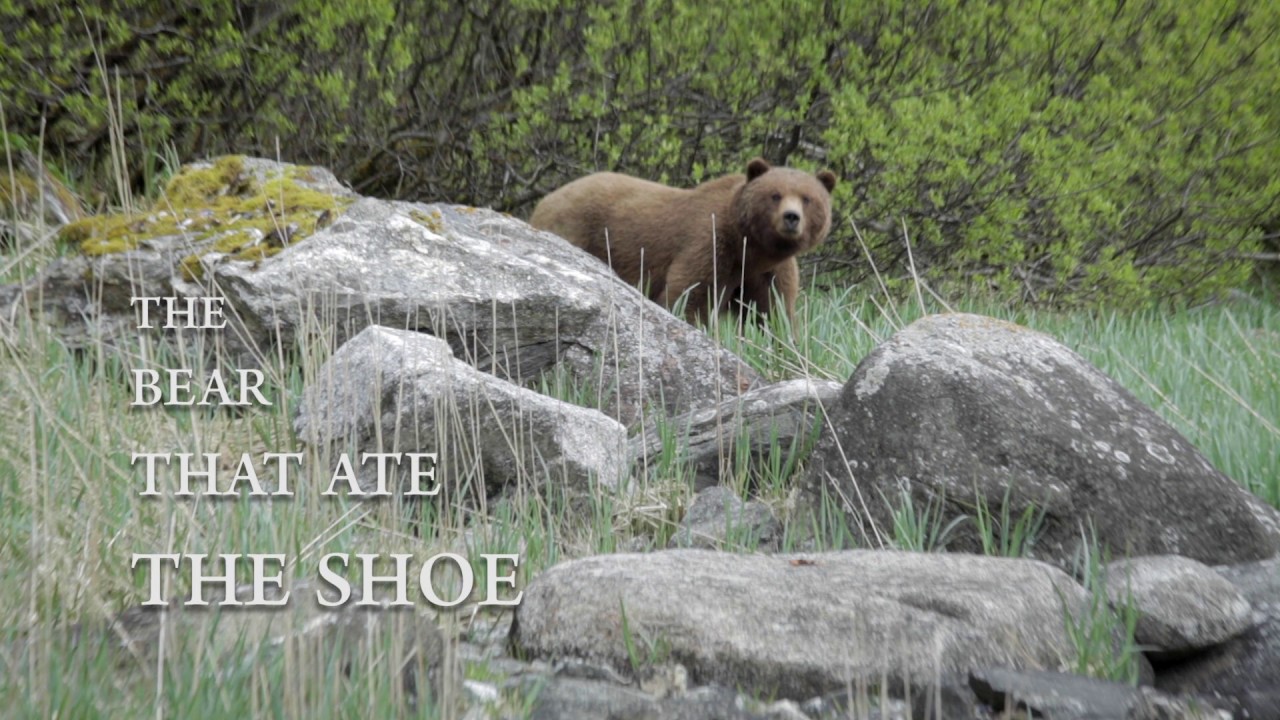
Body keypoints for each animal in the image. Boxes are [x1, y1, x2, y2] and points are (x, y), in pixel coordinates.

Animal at [529, 157, 837, 327]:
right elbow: (688, 296)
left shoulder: (766, 272)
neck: (751, 248)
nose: (791, 217)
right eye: (775, 195)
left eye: (807, 198)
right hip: (574, 230)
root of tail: (545, 200)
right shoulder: (710, 243)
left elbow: (773, 312)